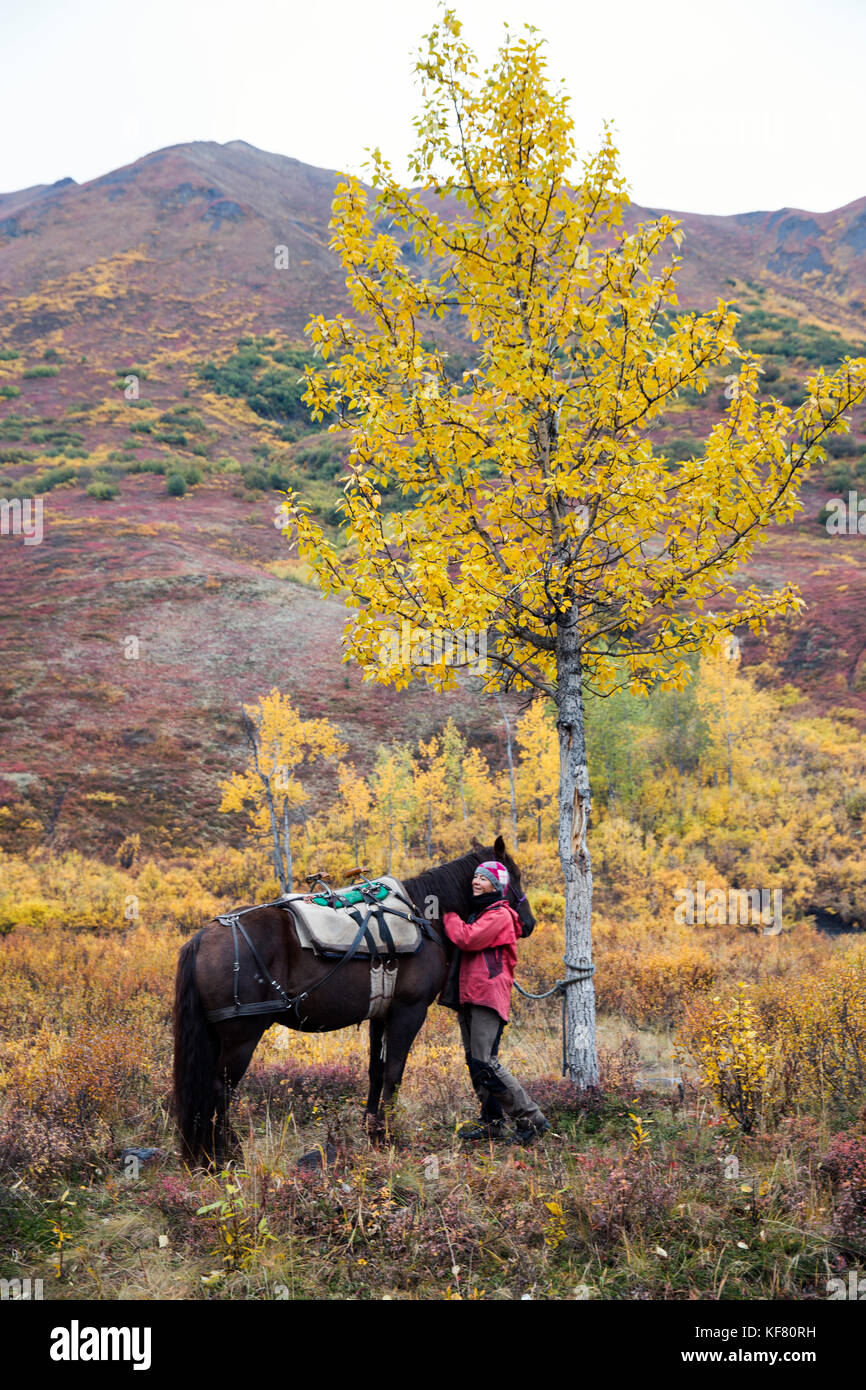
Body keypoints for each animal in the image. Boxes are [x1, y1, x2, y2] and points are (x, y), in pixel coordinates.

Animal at [172, 836, 535, 1164]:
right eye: (515, 874)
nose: (528, 923)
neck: (422, 915)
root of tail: (203, 937)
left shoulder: (381, 1013)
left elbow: (376, 1070)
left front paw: (372, 1130)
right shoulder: (409, 1011)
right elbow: (394, 1072)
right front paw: (389, 1136)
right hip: (241, 1037)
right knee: (220, 1091)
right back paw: (226, 1155)